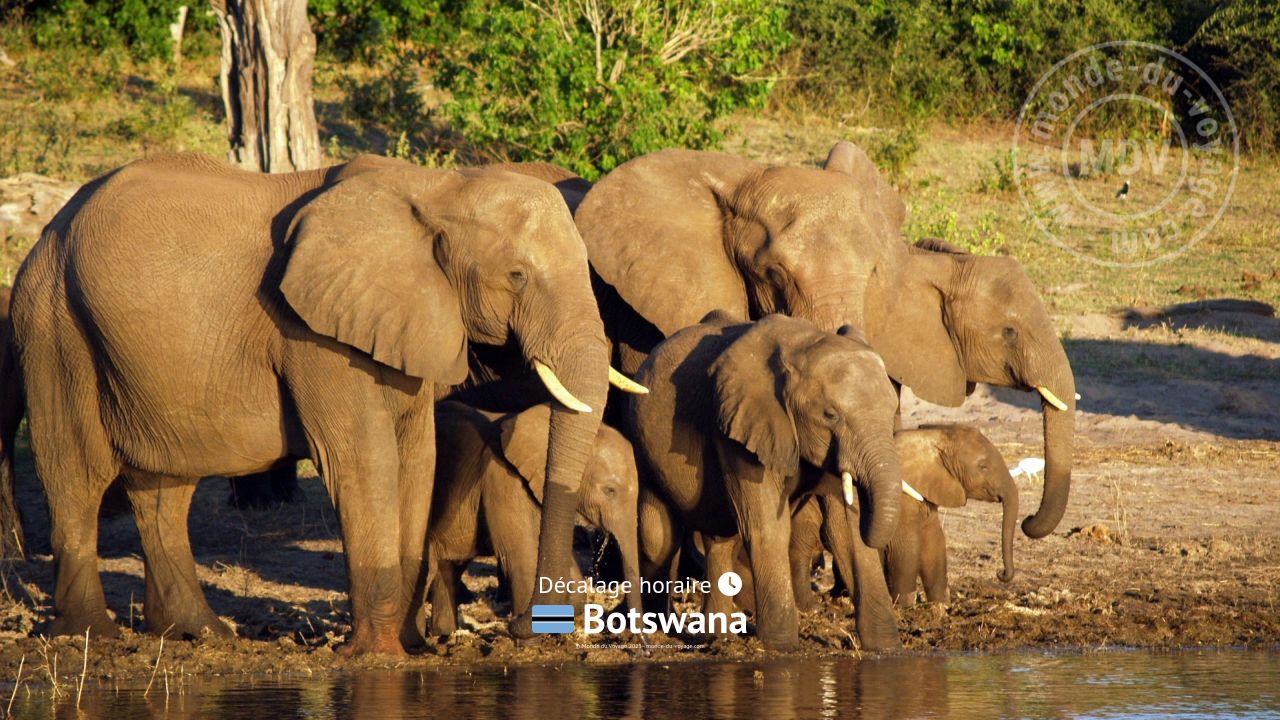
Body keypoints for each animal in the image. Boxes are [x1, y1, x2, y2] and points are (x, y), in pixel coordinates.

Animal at [7, 151, 609, 650]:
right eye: (517, 275)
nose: (538, 623)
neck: (436, 186)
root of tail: (51, 227)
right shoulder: (312, 334)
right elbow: (366, 461)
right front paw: (378, 657)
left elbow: (418, 459)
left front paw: (412, 647)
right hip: (55, 324)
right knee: (77, 472)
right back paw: (90, 636)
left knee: (164, 488)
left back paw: (201, 634)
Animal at [885, 422, 1013, 602]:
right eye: (983, 467)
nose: (1000, 573)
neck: (932, 436)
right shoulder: (898, 497)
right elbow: (905, 545)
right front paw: (904, 605)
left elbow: (934, 539)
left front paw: (941, 605)